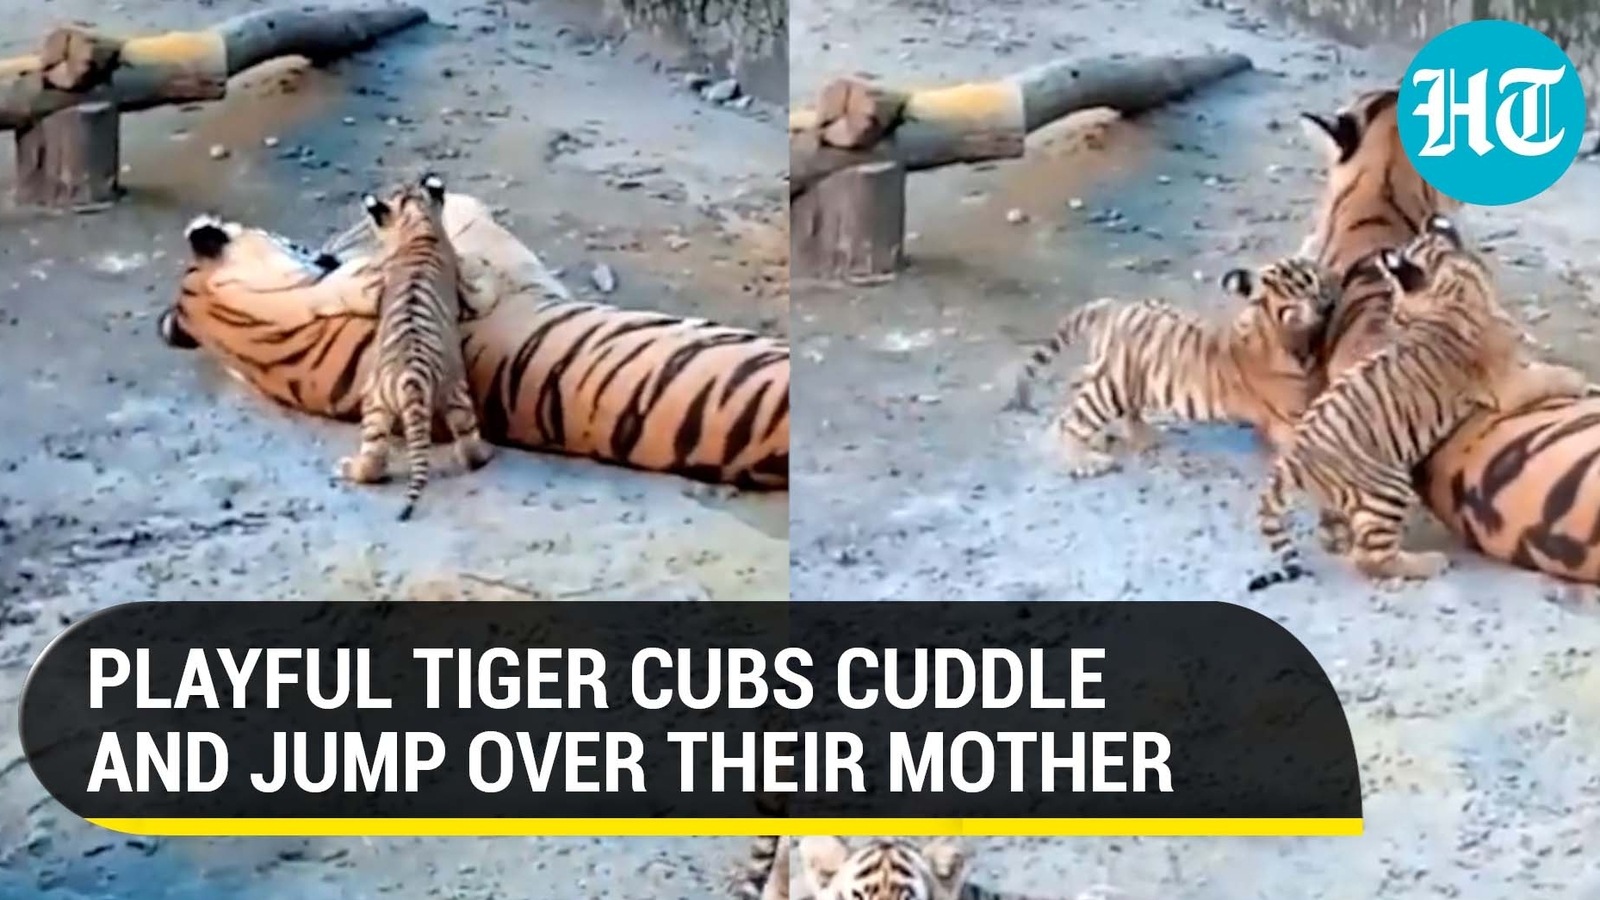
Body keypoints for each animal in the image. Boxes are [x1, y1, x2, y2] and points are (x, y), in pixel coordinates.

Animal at [337, 173, 494, 521]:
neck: (416, 218)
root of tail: (411, 379)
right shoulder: (465, 285)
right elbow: (481, 291)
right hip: (456, 394)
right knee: (468, 446)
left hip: (377, 405)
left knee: (373, 459)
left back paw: (348, 468)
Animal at [1004, 256, 1336, 475]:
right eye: (1304, 285)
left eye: (1320, 278)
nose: (1330, 299)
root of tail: (1113, 308)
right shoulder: (1289, 417)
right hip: (1113, 385)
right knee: (1074, 419)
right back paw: (1086, 461)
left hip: (1120, 379)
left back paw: (1139, 438)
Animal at [1248, 215, 1591, 592]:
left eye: (1397, 307)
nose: (1395, 320)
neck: (1457, 288)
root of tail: (1296, 458)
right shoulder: (1508, 385)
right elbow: (1550, 376)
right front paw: (1579, 381)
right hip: (1387, 487)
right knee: (1370, 557)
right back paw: (1429, 563)